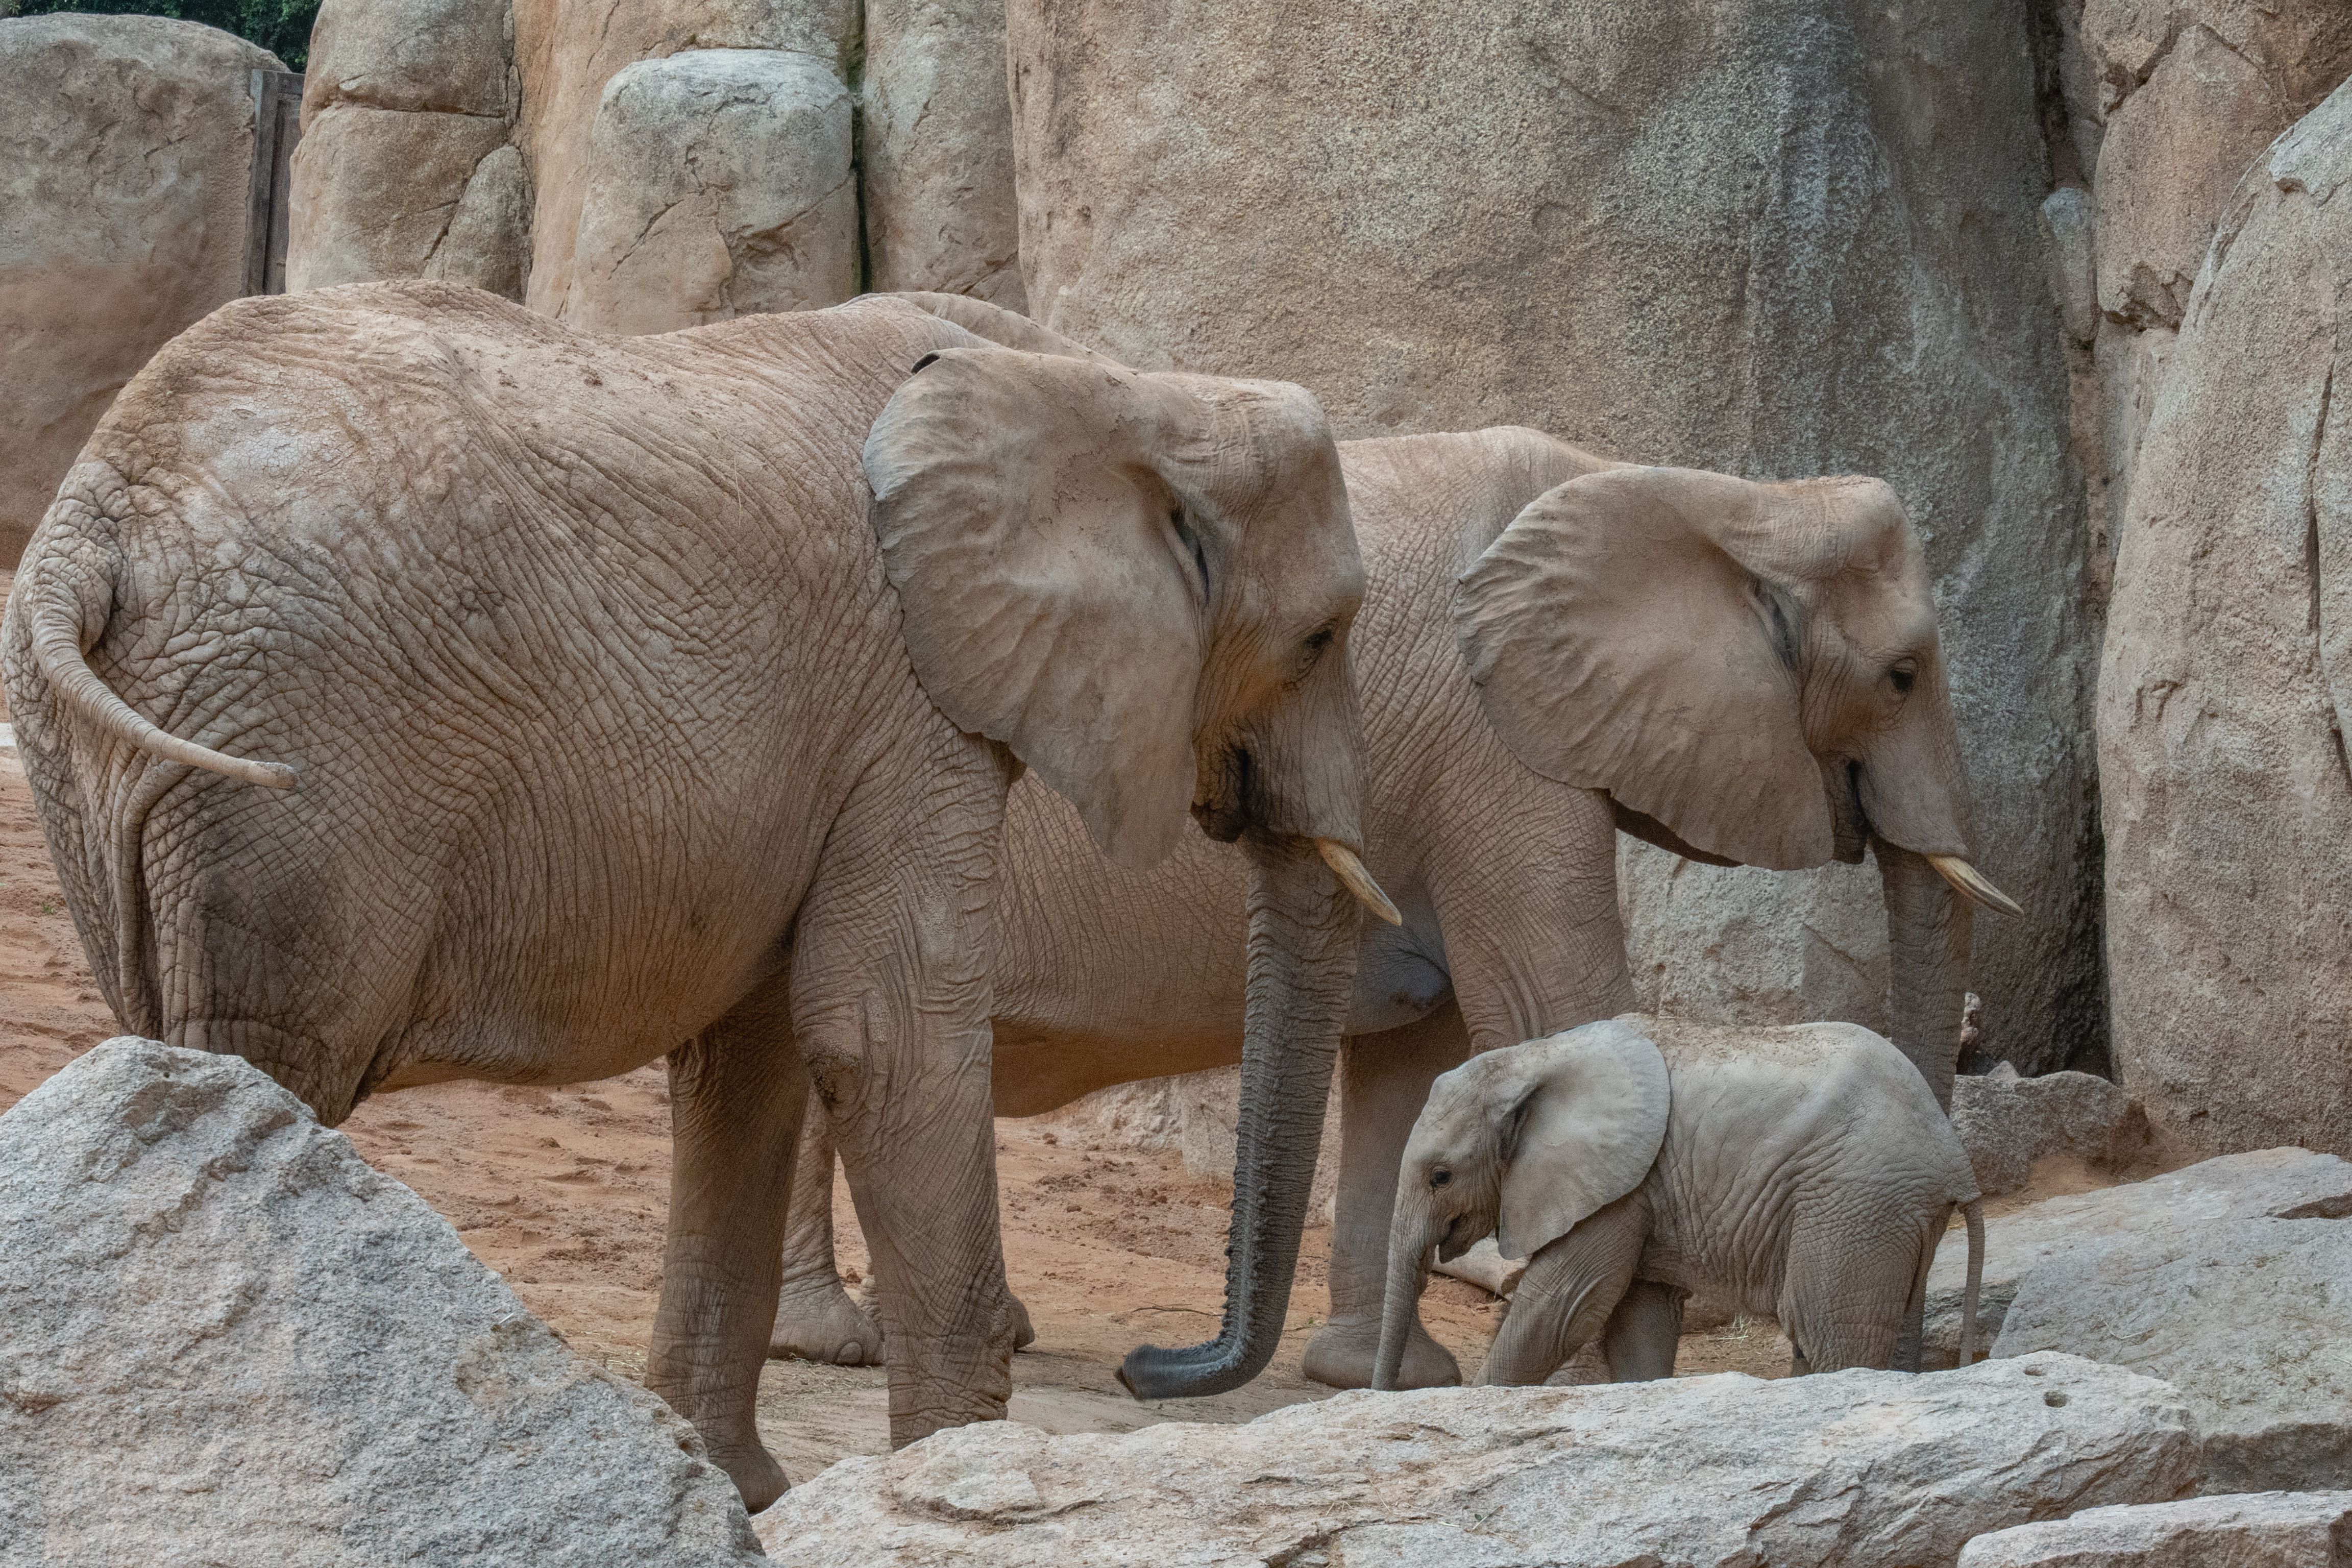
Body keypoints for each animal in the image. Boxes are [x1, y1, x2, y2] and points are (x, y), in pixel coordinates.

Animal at [0, 281, 1393, 1508]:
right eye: (1323, 635)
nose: (1145, 1367)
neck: (1115, 386)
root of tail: (98, 516)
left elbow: (753, 1064)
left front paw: (737, 1489)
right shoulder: (910, 709)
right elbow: (884, 1040)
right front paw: (956, 1475)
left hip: (115, 757)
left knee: (170, 1054)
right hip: (293, 763)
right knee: (265, 1063)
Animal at [1372, 1015, 1986, 1388]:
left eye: (1441, 1177)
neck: (1536, 1058)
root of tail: (1956, 1157)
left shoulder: (1619, 1182)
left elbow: (1563, 1306)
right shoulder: (1639, 1188)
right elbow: (1637, 1322)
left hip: (1856, 1200)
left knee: (1829, 1335)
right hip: (1889, 1209)